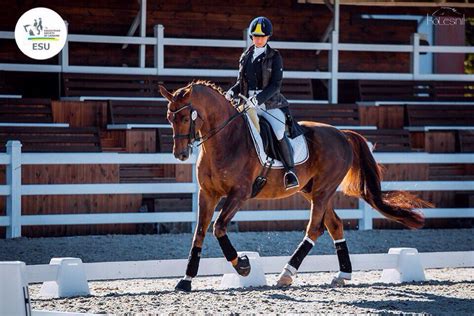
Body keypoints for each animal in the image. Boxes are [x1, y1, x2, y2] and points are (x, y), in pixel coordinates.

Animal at [157, 80, 428, 292]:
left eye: (185, 117)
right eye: (169, 118)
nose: (180, 154)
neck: (226, 139)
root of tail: (342, 133)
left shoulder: (239, 194)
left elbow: (219, 227)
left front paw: (243, 265)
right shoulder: (207, 194)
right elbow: (199, 233)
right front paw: (186, 280)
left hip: (322, 191)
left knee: (315, 228)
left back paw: (286, 274)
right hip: (314, 191)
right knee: (335, 225)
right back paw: (342, 275)